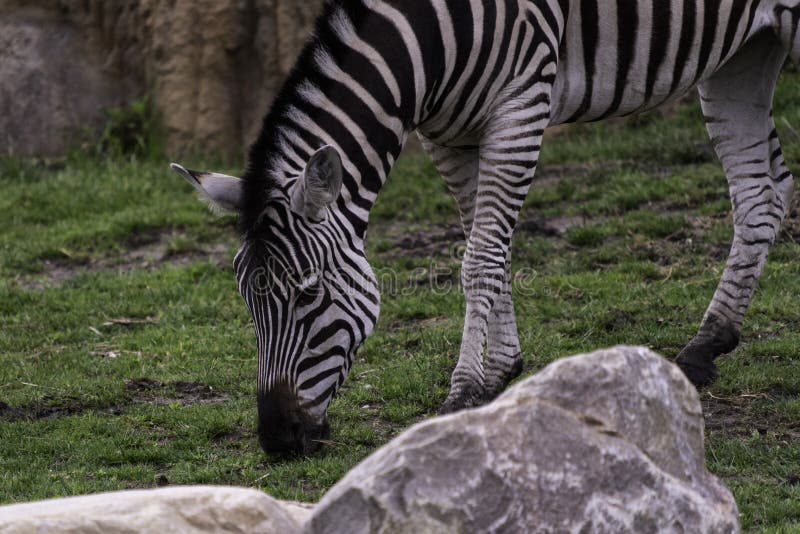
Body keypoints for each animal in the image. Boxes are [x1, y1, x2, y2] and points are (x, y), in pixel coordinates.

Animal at [171, 0, 800, 453]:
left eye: (306, 295)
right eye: (247, 303)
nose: (277, 441)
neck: (430, 41)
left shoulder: (520, 106)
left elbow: (480, 258)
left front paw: (464, 389)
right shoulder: (447, 132)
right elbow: (493, 248)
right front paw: (500, 371)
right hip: (742, 53)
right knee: (761, 194)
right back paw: (706, 343)